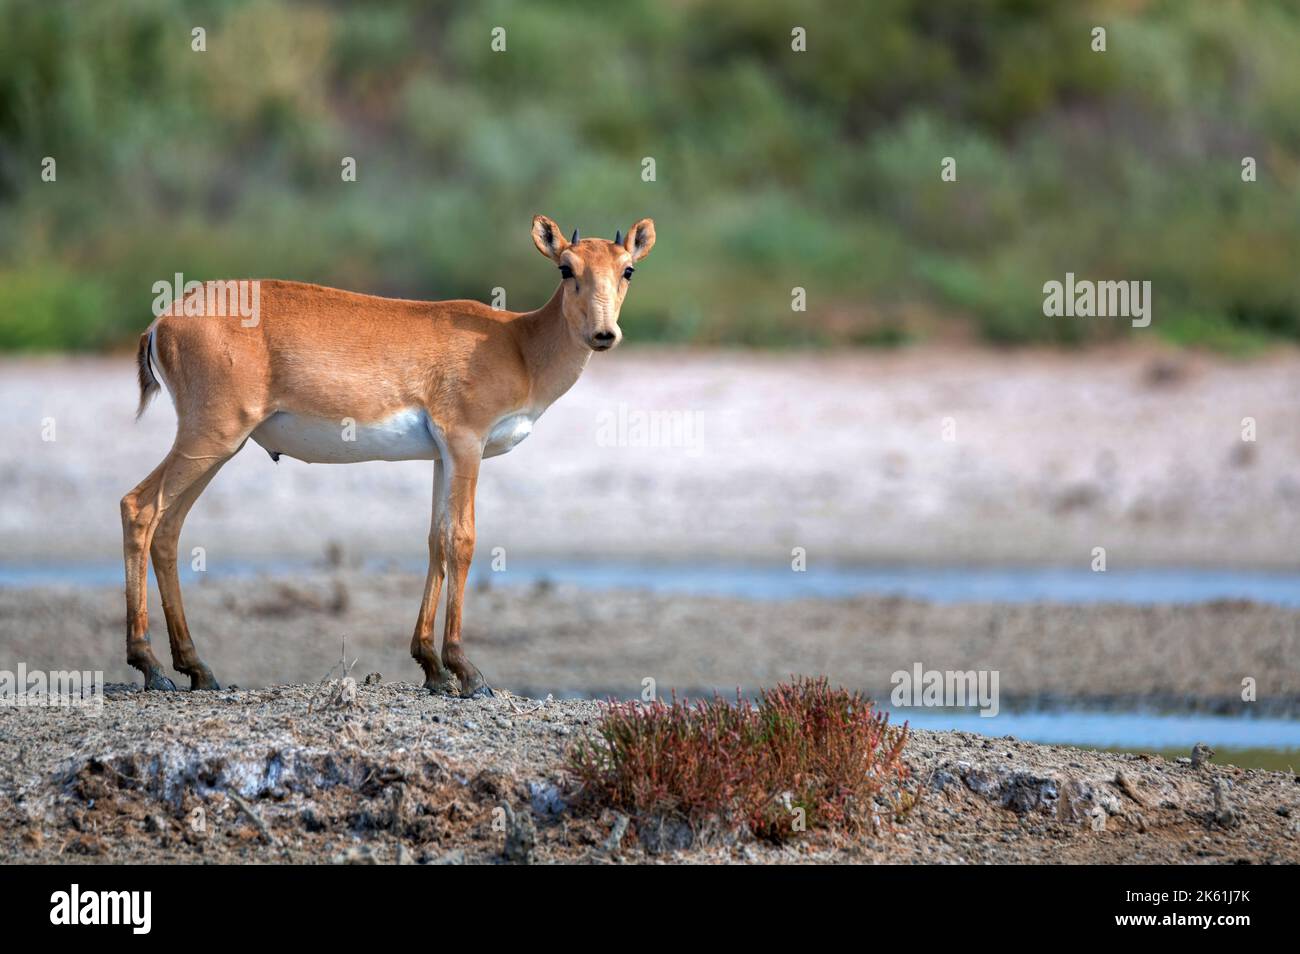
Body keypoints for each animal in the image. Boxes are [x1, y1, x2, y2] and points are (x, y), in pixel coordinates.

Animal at [122, 215, 655, 697]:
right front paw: (466, 672)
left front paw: (433, 668)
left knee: (168, 529)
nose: (604, 334)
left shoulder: (442, 457)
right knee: (139, 508)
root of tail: (163, 321)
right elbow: (463, 541)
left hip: (216, 449)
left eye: (627, 268)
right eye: (566, 267)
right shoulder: (466, 443)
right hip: (209, 439)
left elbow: (436, 541)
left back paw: (197, 668)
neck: (517, 343)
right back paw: (151, 666)